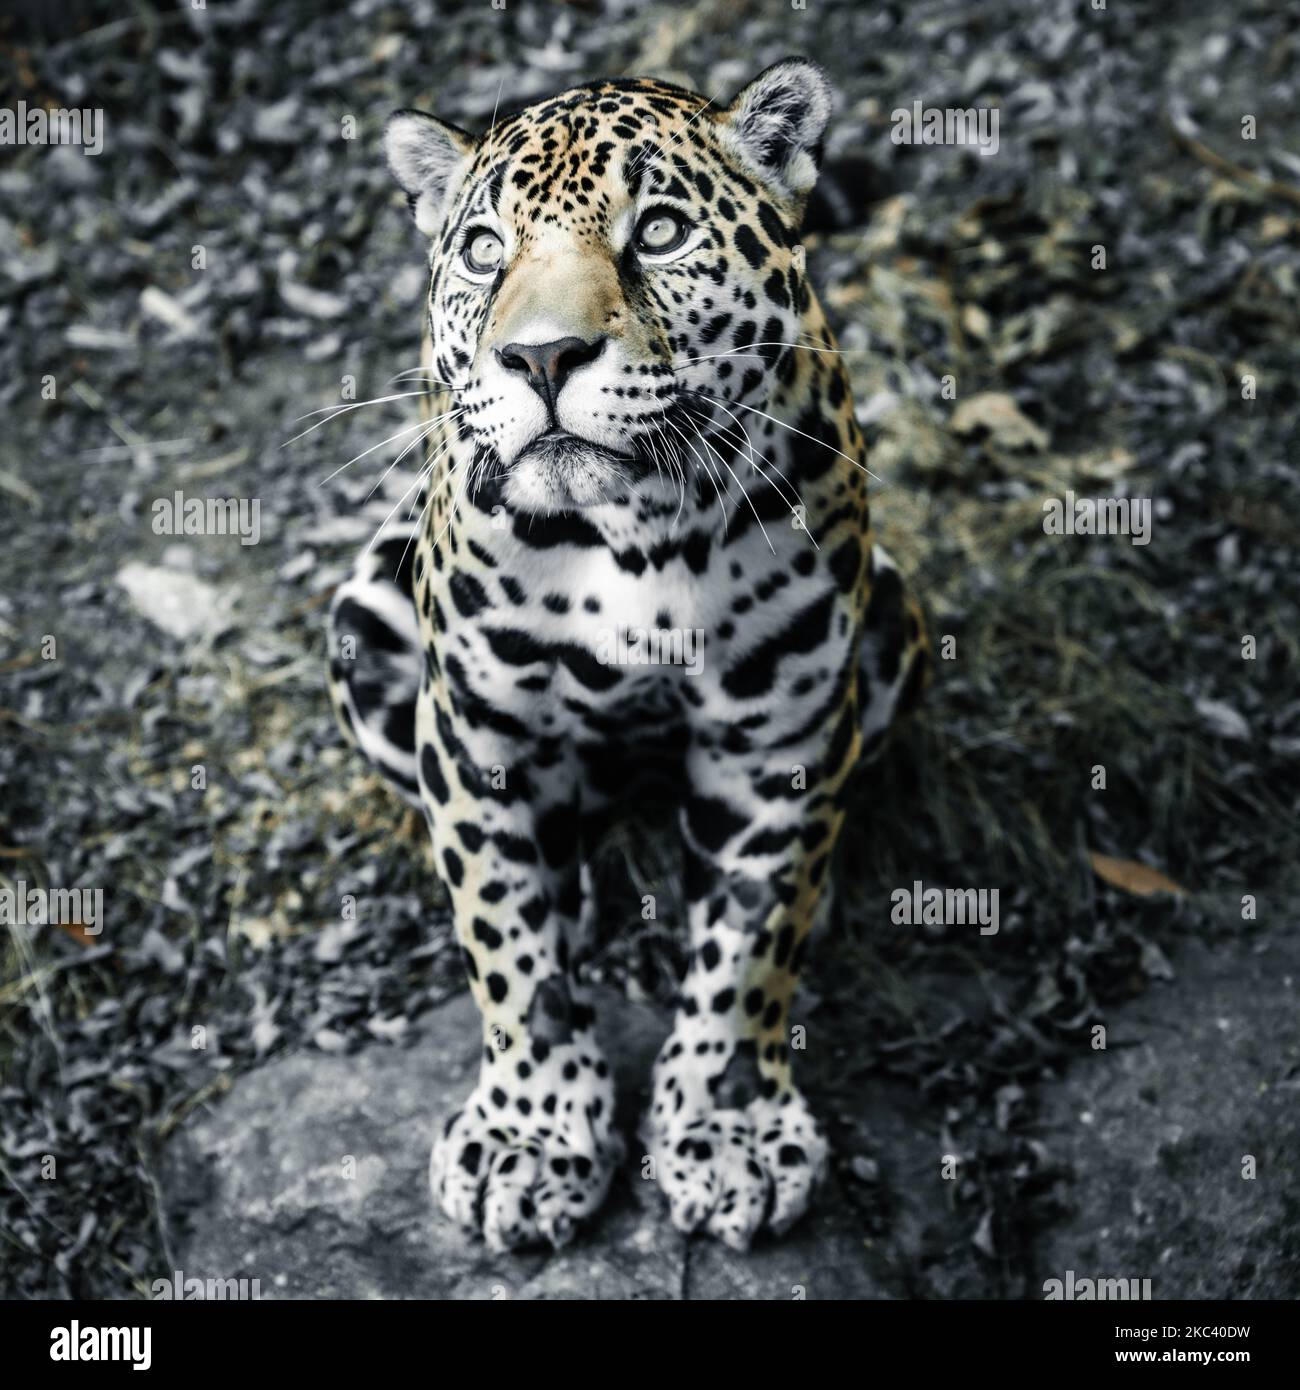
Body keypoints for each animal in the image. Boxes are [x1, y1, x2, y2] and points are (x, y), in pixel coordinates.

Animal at [326, 57, 929, 1254]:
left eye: (656, 232)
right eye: (483, 249)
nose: (540, 355)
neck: (636, 531)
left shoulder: (779, 741)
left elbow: (749, 950)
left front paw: (732, 1133)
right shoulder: (476, 732)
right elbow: (508, 947)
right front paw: (528, 1137)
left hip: (887, 619)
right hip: (364, 621)